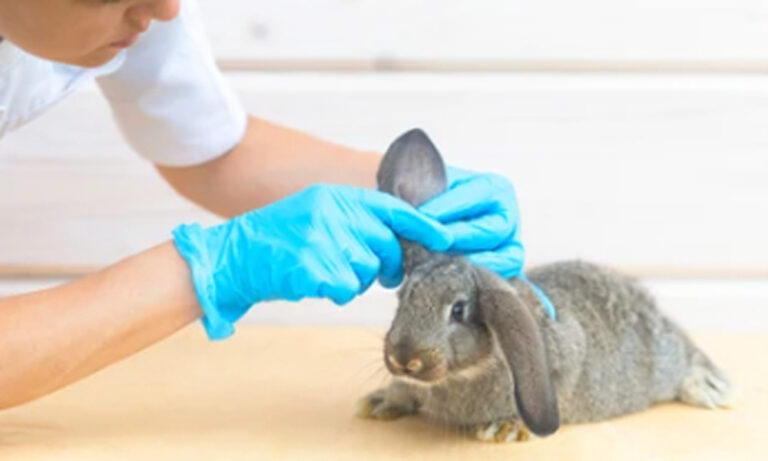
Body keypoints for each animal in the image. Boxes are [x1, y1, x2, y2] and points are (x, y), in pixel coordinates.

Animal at [356, 128, 732, 443]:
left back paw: (712, 386)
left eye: (459, 311)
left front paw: (504, 427)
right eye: (402, 299)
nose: (404, 360)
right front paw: (381, 400)